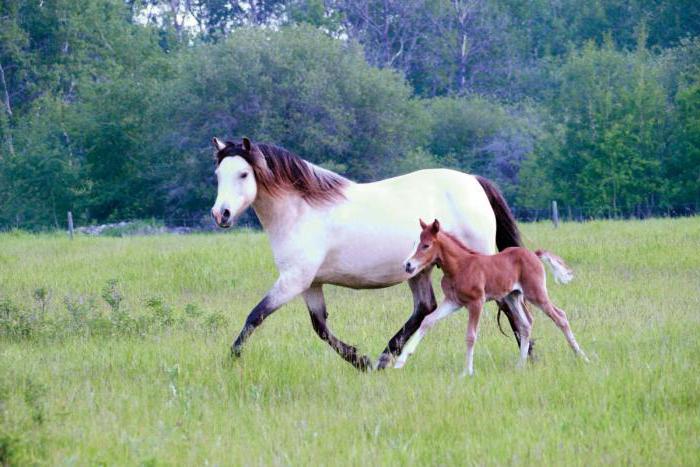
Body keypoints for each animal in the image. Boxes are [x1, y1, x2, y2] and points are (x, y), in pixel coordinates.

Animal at [208, 137, 532, 372]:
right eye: (218, 175)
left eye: (243, 174)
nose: (220, 214)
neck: (300, 211)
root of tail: (474, 181)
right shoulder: (310, 284)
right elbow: (320, 327)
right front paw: (360, 360)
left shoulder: (293, 281)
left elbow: (255, 316)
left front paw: (231, 358)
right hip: (419, 269)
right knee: (425, 307)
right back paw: (384, 358)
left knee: (512, 306)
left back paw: (529, 357)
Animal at [396, 219, 588, 376]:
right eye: (416, 243)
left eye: (426, 245)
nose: (407, 265)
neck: (459, 266)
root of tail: (534, 254)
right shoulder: (453, 301)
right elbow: (427, 320)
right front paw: (401, 360)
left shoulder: (476, 302)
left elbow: (471, 336)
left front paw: (467, 372)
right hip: (512, 296)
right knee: (525, 324)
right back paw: (520, 366)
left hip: (536, 294)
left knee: (560, 316)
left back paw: (582, 356)